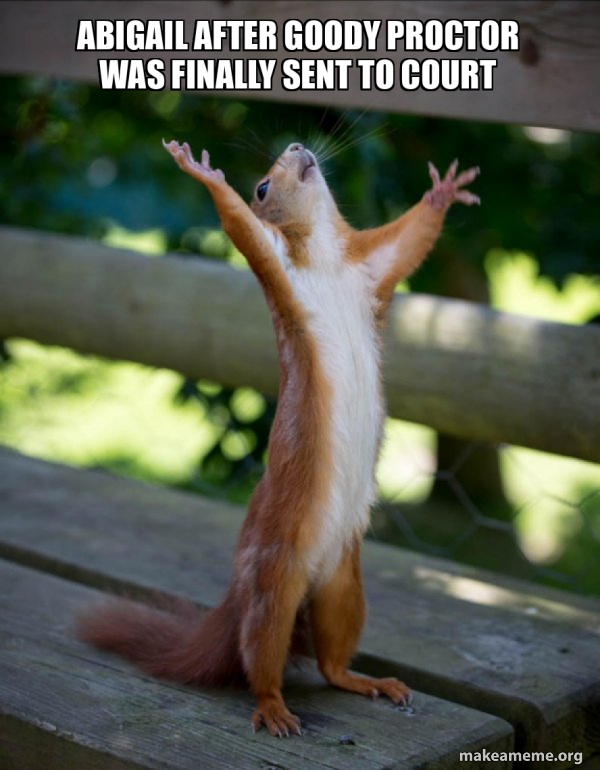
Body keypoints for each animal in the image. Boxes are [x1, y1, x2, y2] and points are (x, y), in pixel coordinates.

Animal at [77, 138, 479, 738]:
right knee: (260, 658)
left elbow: (409, 240)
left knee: (332, 661)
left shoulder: (372, 267)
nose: (296, 147)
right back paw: (273, 708)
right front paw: (204, 174)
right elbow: (240, 226)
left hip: (344, 586)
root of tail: (239, 595)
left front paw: (443, 192)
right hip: (273, 584)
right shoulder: (277, 266)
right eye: (262, 187)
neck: (327, 257)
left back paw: (368, 681)